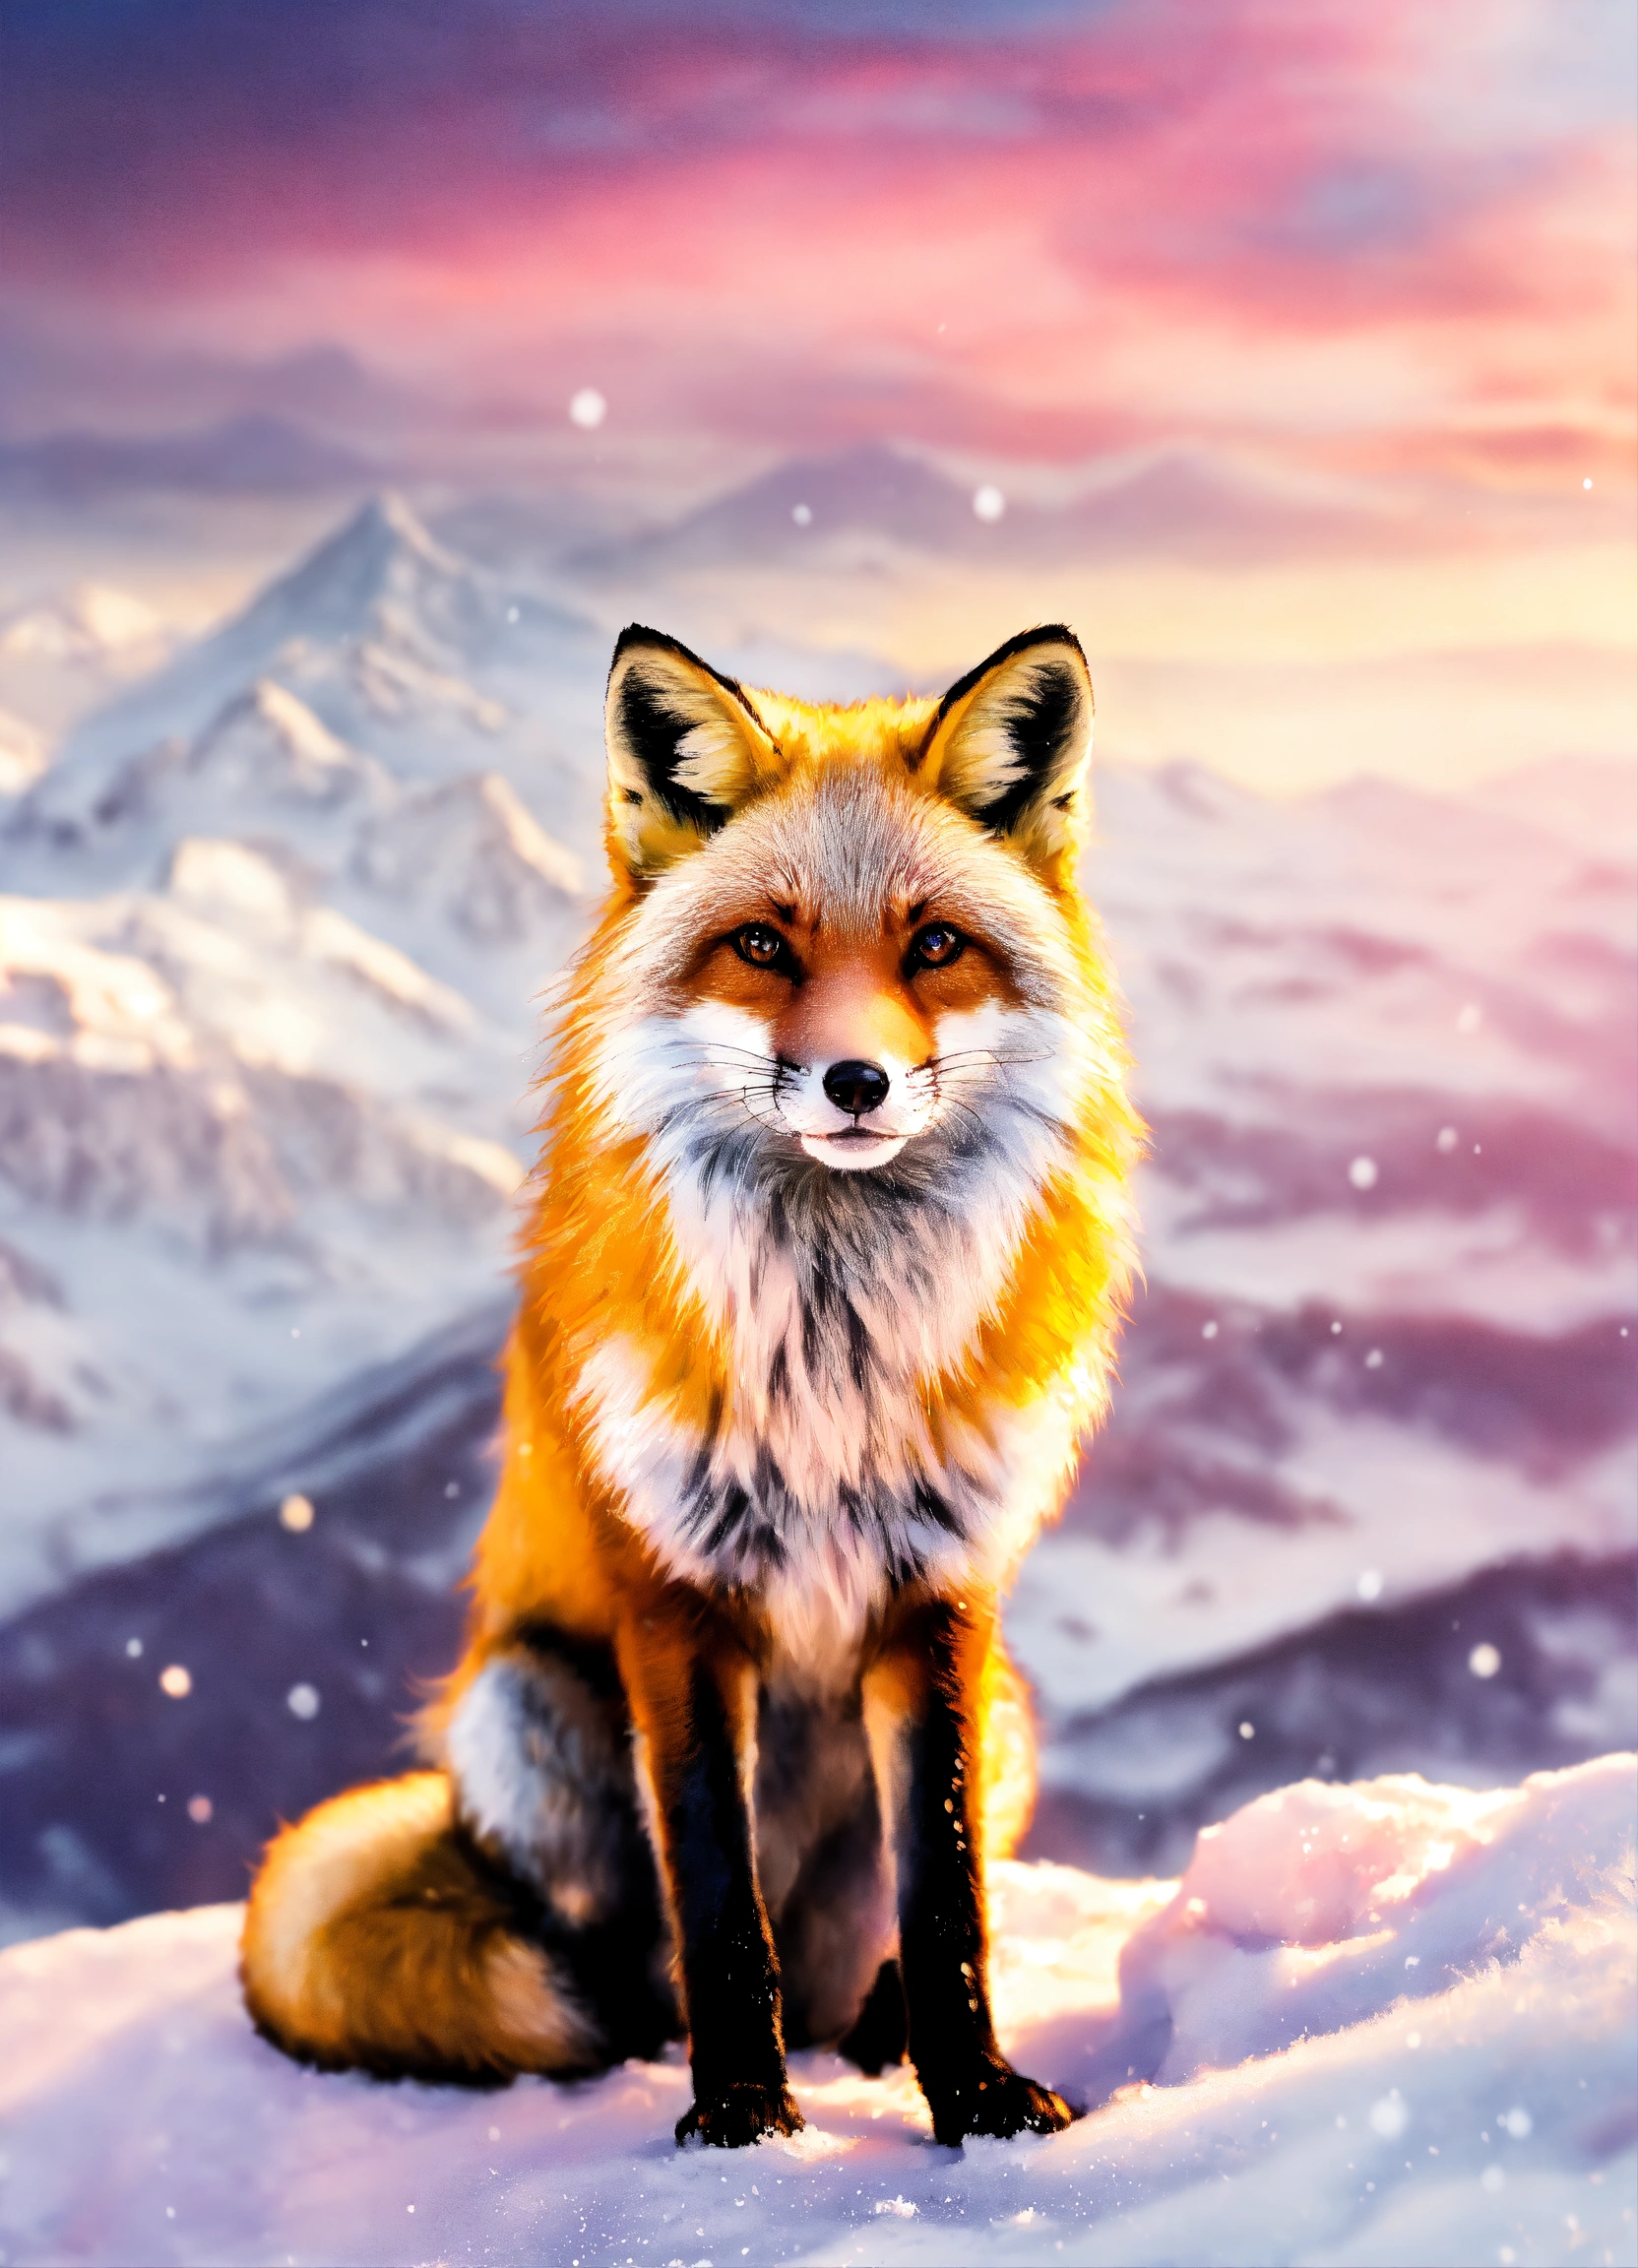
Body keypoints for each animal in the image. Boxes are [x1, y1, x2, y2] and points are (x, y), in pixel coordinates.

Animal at [241, 621, 1141, 2149]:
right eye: (764, 944)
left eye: (936, 945)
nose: (857, 1081)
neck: (835, 1362)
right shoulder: (675, 1601)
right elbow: (720, 1910)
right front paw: (743, 2122)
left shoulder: (937, 1602)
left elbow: (947, 1898)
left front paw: (970, 2099)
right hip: (523, 1706)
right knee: (627, 1971)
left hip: (1007, 1706)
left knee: (861, 1963)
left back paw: (873, 2035)